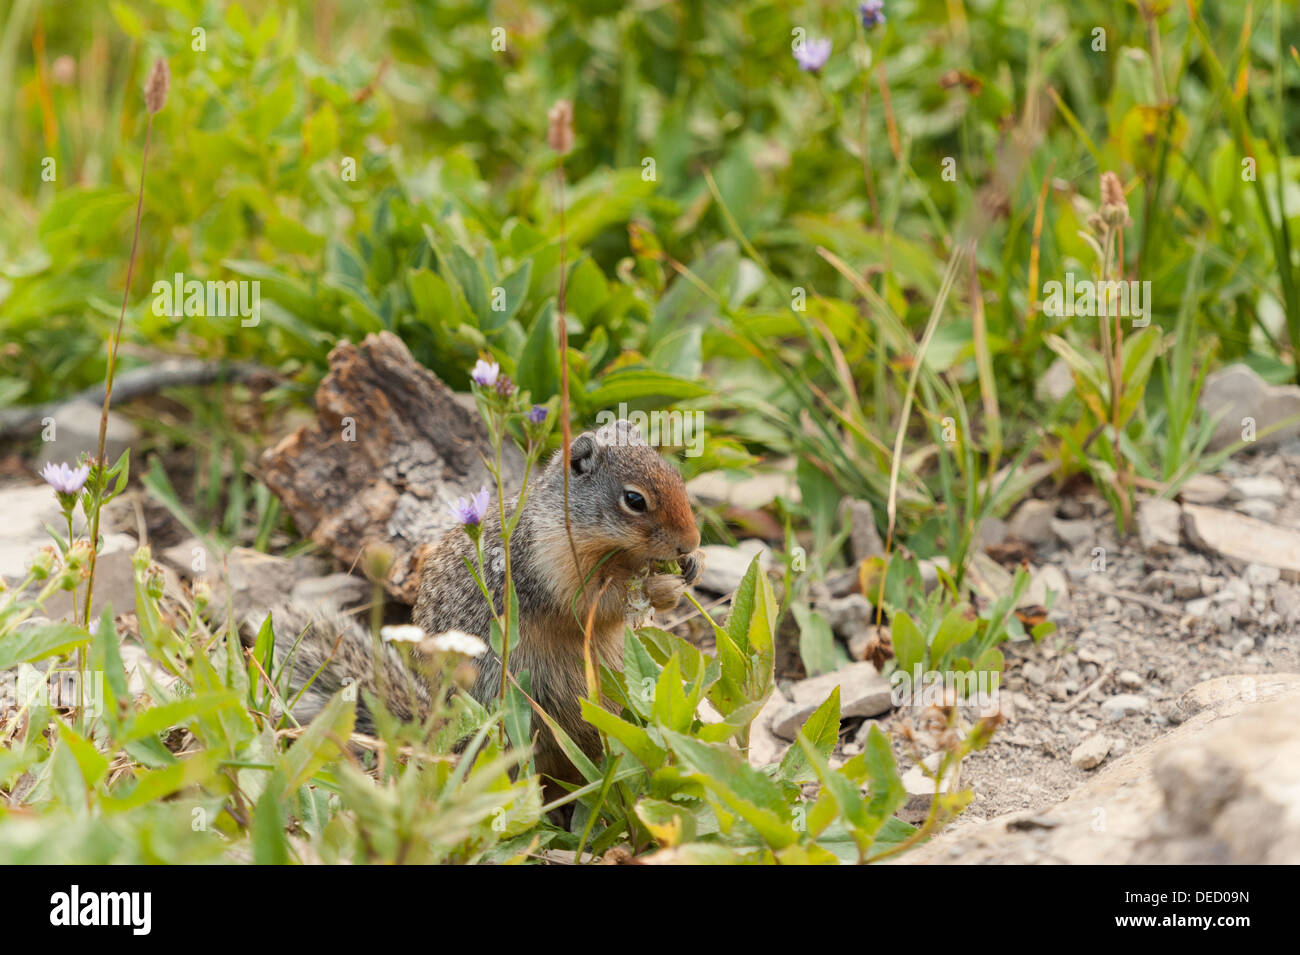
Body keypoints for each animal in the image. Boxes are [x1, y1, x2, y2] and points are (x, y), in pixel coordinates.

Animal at [271, 420, 703, 787]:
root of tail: (434, 730)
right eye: (634, 500)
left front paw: (692, 568)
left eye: (678, 477)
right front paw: (662, 587)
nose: (691, 541)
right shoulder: (554, 566)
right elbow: (595, 601)